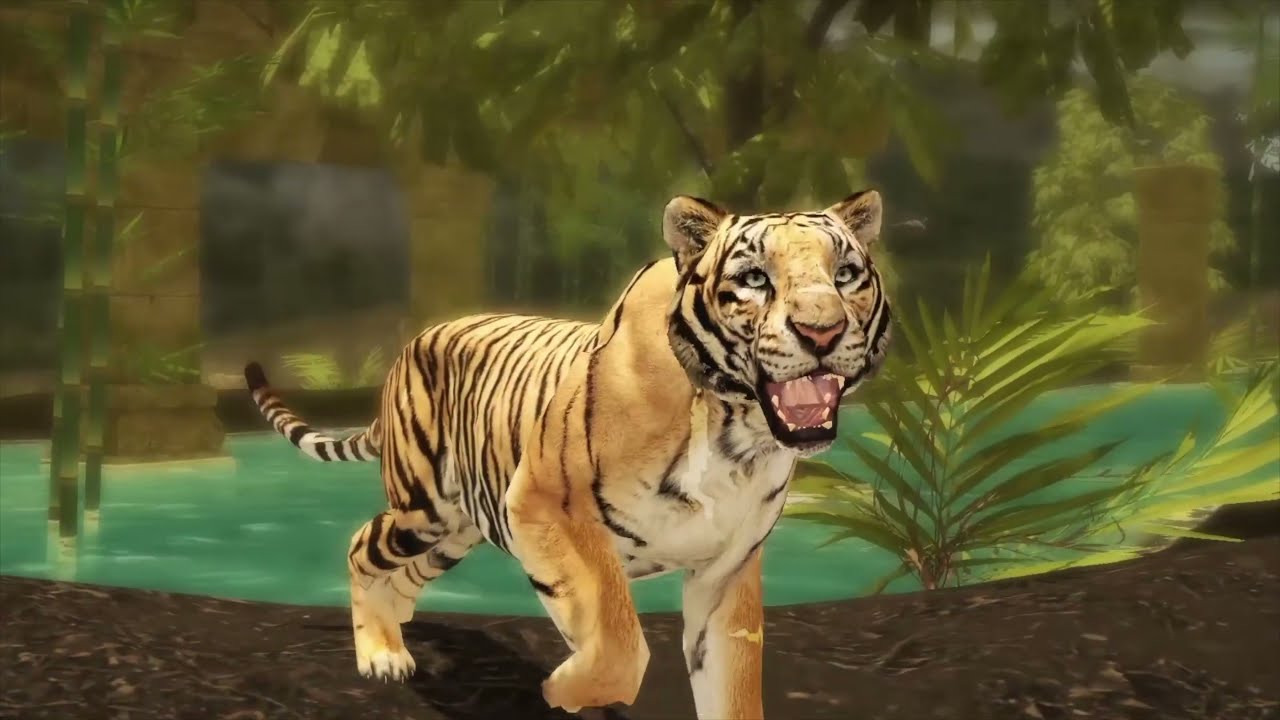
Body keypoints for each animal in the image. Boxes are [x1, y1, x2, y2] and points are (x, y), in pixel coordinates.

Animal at [243, 190, 892, 719]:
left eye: (846, 273)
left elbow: (732, 687)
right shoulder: (545, 506)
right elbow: (619, 642)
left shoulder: (727, 569)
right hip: (424, 508)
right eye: (756, 278)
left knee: (402, 575)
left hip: (456, 529)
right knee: (361, 546)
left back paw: (399, 633)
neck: (734, 431)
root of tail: (413, 343)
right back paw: (380, 655)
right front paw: (565, 690)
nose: (822, 332)